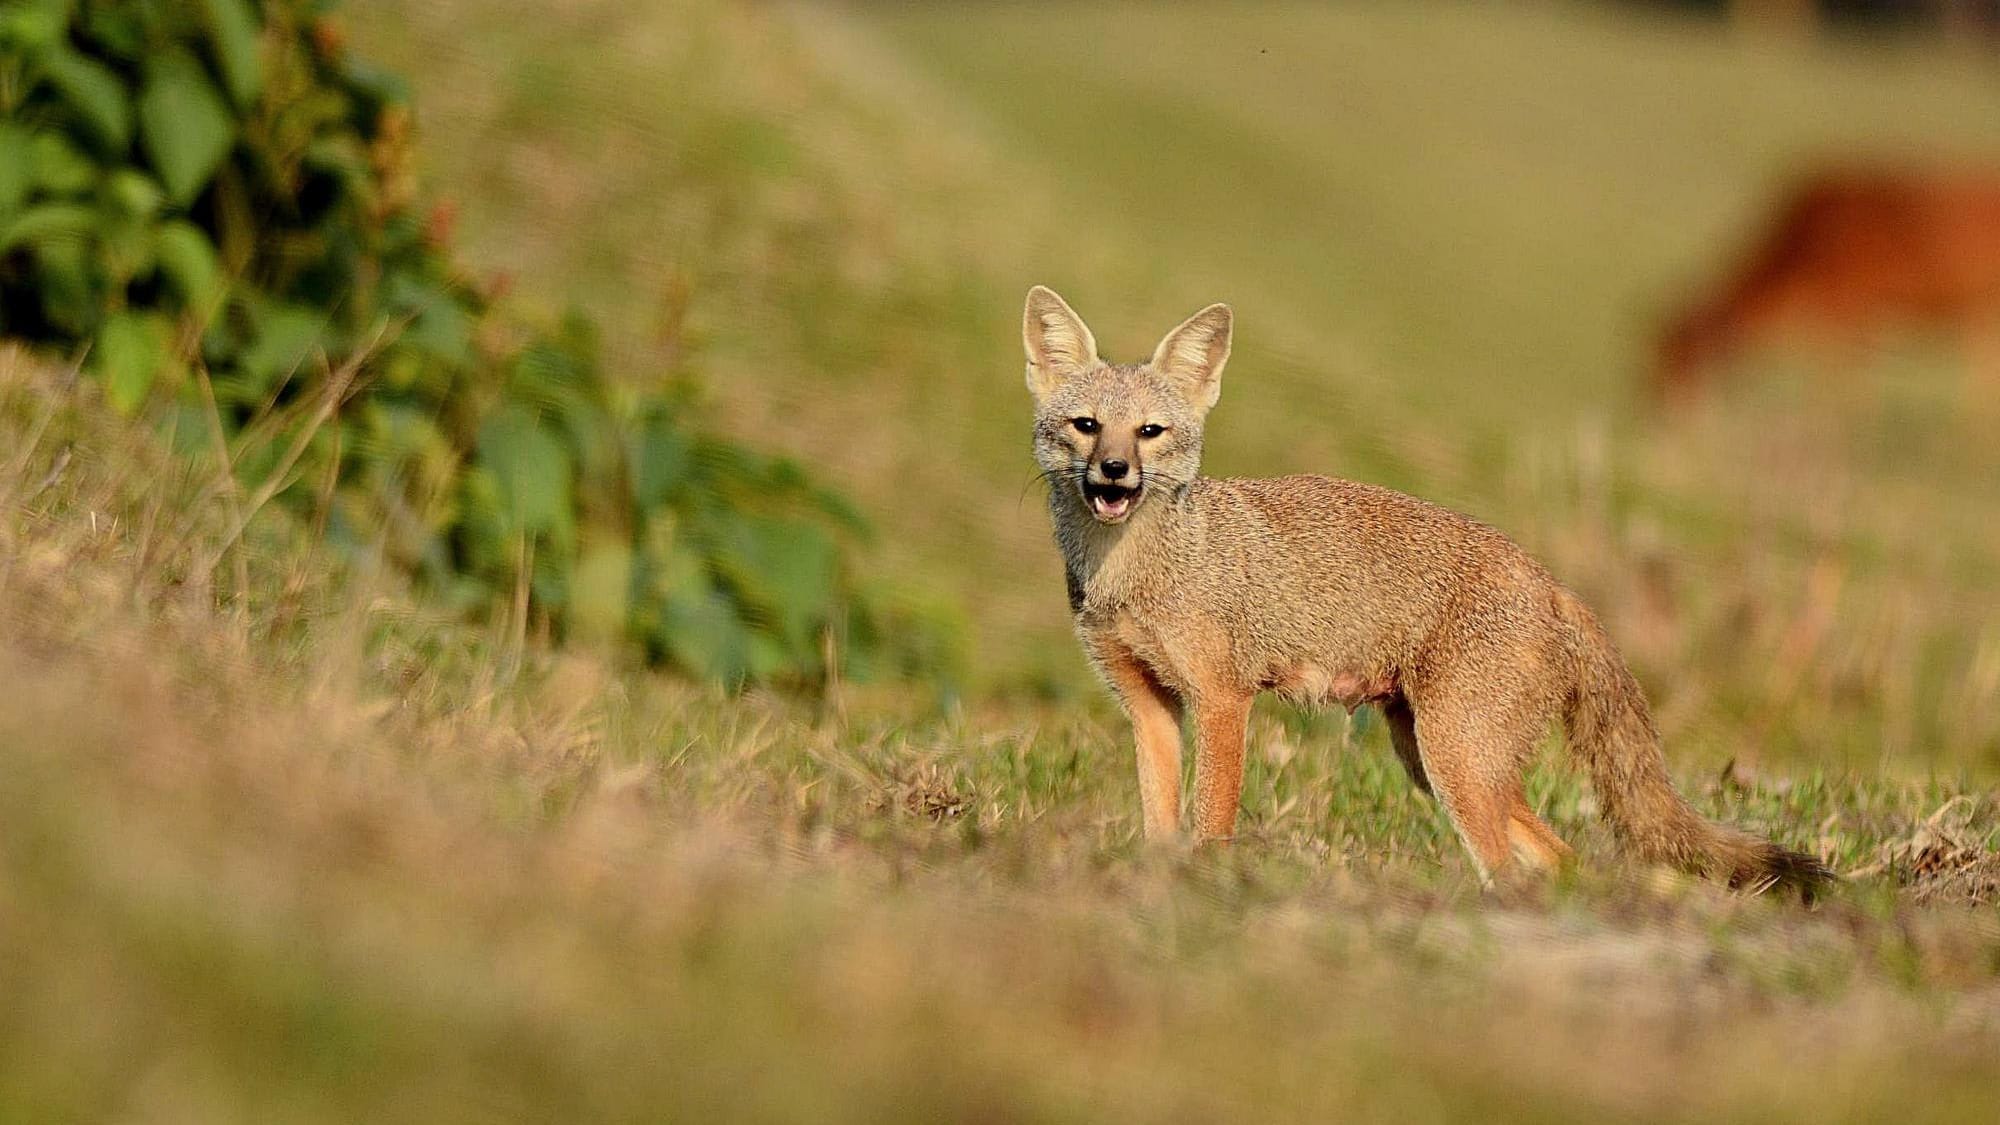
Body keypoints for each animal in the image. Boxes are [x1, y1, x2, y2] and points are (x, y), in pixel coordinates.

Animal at [1023, 285, 1830, 894]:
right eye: (1086, 426)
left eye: (1150, 432)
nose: (1114, 472)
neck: (1139, 574)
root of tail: (1555, 584)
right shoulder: (1148, 704)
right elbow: (1159, 823)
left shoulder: (1224, 698)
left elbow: (1211, 821)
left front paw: (1205, 887)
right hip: (1437, 760)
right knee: (1561, 859)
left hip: (1456, 762)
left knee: (1515, 864)